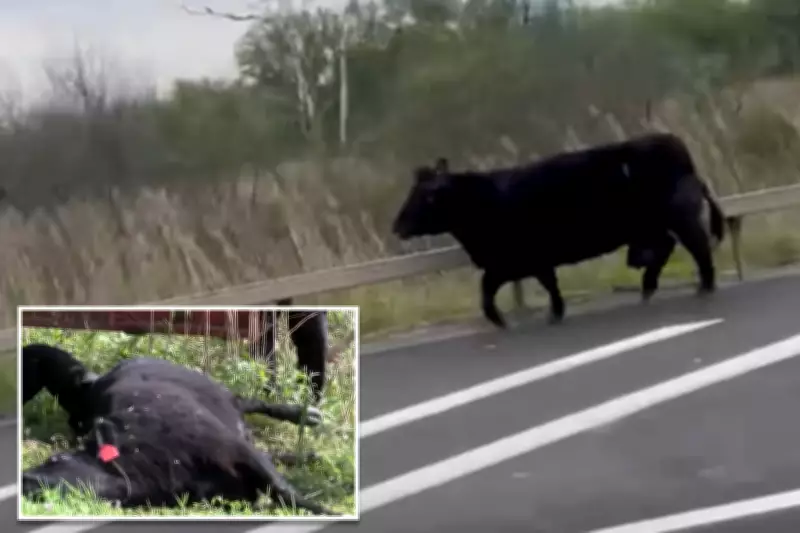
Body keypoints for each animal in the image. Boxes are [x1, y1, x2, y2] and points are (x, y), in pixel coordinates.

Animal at [21, 343, 335, 515]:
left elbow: (285, 491)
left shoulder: (233, 449)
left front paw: (329, 510)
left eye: (55, 459)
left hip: (224, 399)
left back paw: (305, 415)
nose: (26, 479)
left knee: (253, 403)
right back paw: (308, 455)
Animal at [392, 133, 725, 328]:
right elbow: (504, 289)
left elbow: (497, 290)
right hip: (654, 224)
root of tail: (674, 143)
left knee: (697, 246)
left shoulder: (519, 259)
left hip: (677, 216)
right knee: (669, 247)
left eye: (425, 196)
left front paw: (513, 320)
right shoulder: (515, 263)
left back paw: (703, 286)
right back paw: (648, 288)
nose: (397, 226)